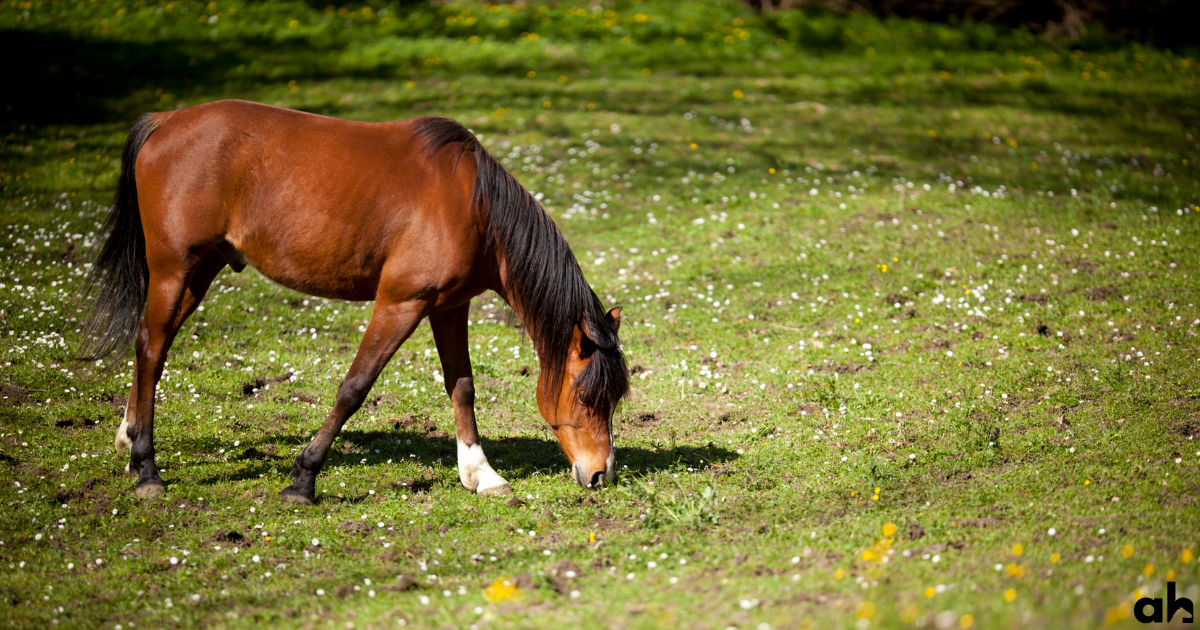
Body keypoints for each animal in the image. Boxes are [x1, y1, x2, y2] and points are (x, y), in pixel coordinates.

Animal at [79, 99, 629, 503]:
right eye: (588, 397)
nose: (601, 474)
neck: (474, 207)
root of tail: (165, 121)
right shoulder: (401, 302)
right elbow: (354, 387)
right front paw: (303, 478)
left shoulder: (448, 307)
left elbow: (463, 387)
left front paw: (481, 472)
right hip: (174, 269)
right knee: (151, 348)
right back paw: (148, 470)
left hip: (200, 270)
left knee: (153, 346)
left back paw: (130, 440)